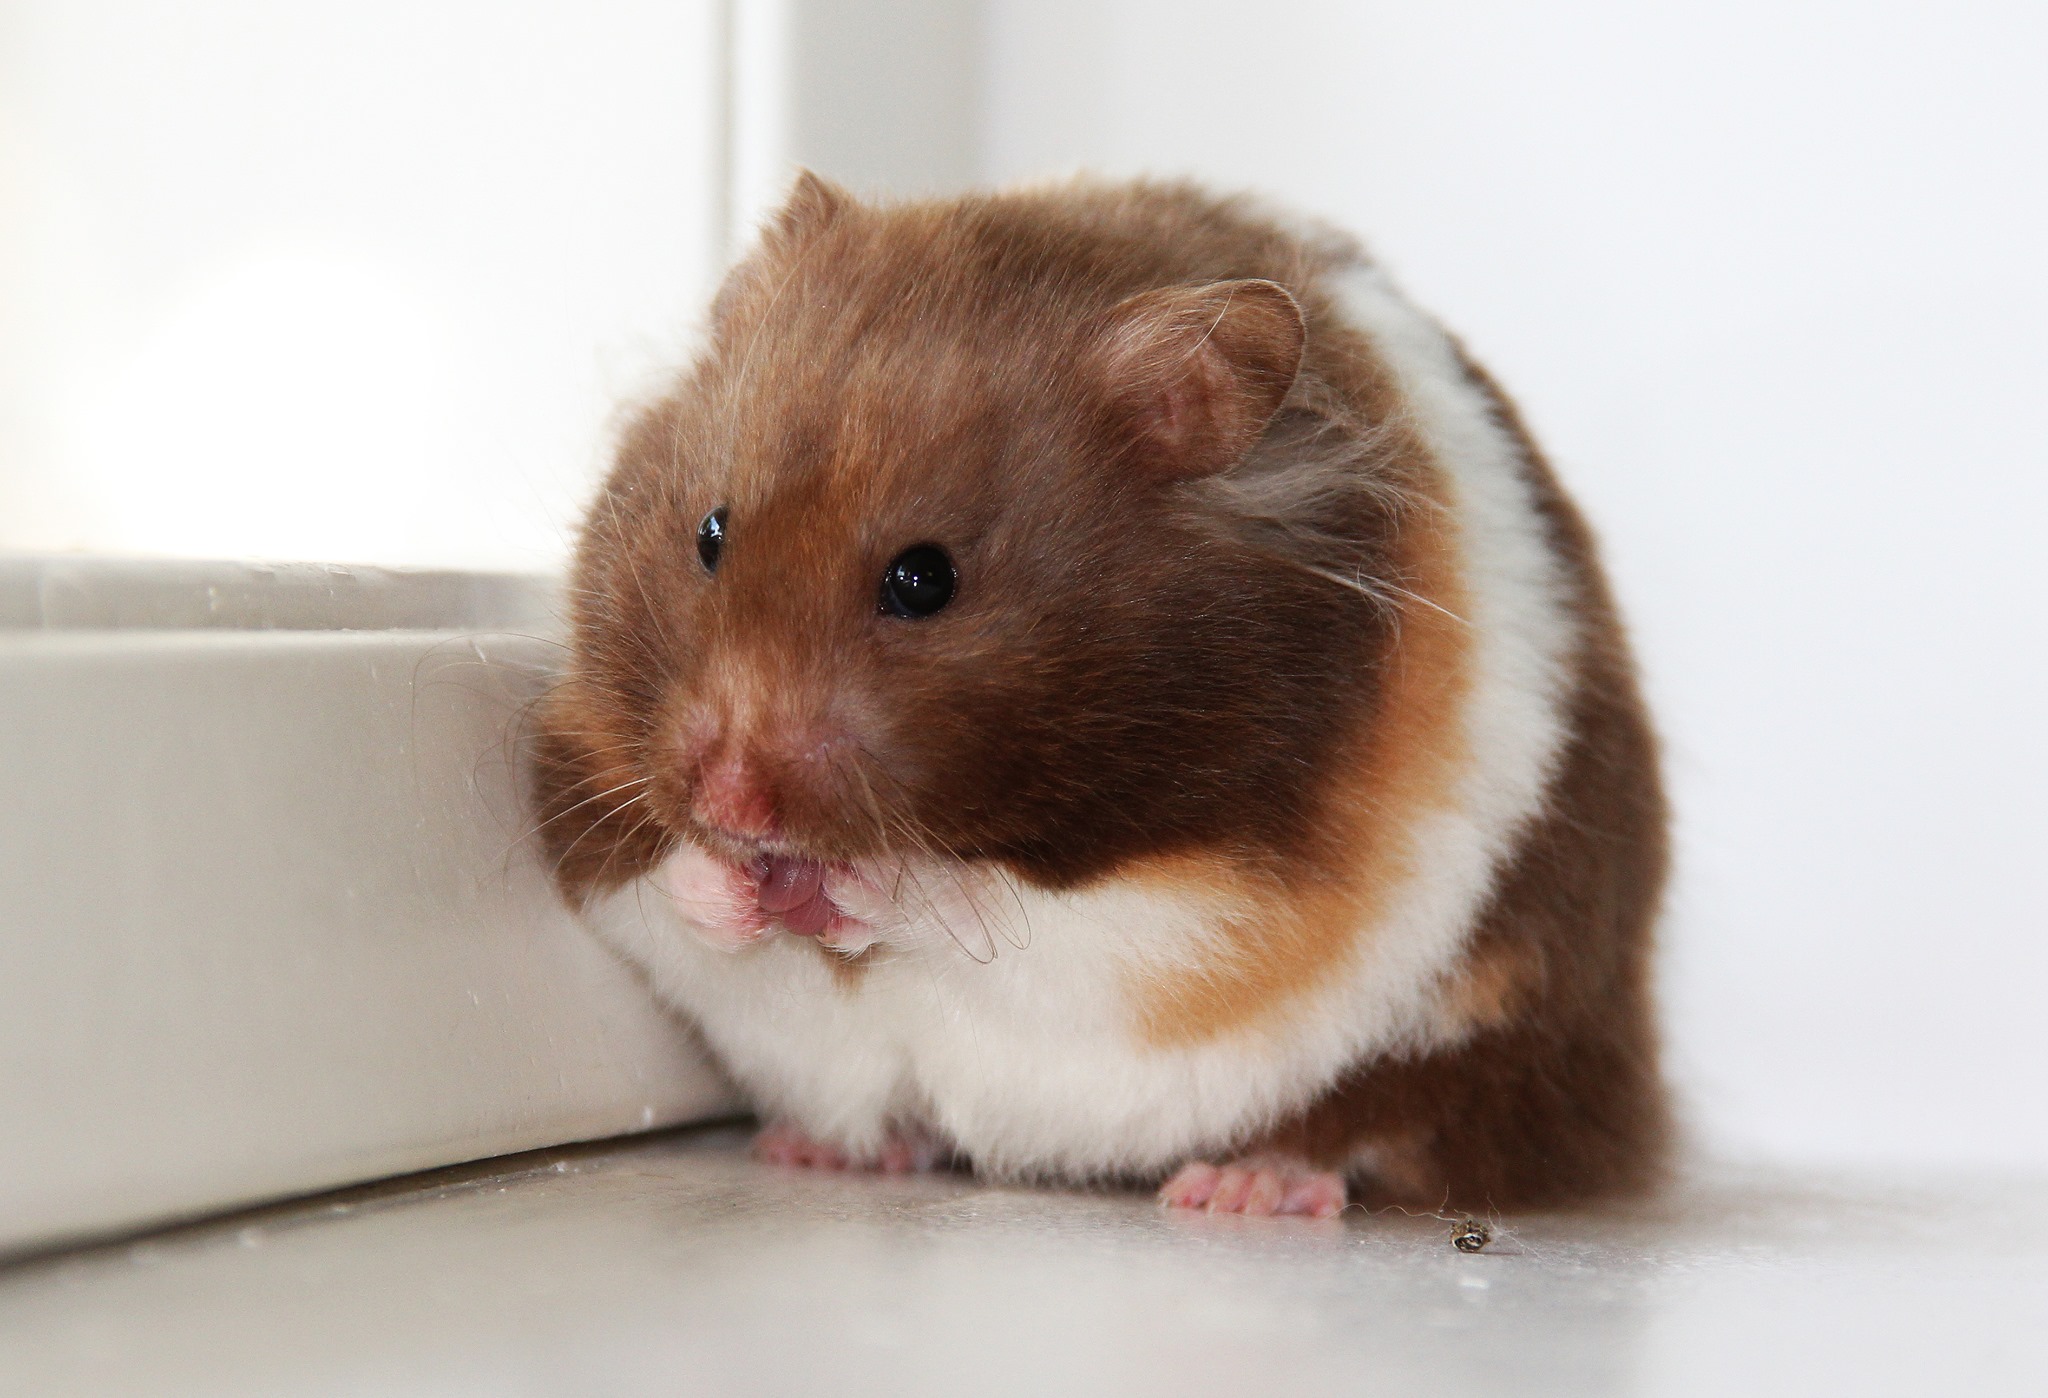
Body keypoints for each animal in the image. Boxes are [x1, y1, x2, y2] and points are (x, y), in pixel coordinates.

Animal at [533, 174, 1668, 1217]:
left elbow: (999, 910)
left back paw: (1242, 1189)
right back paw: (822, 1149)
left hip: (1481, 1035)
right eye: (709, 533)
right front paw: (728, 884)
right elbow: (659, 900)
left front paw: (860, 884)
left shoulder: (1201, 924)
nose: (730, 802)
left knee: (1376, 1129)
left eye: (924, 579)